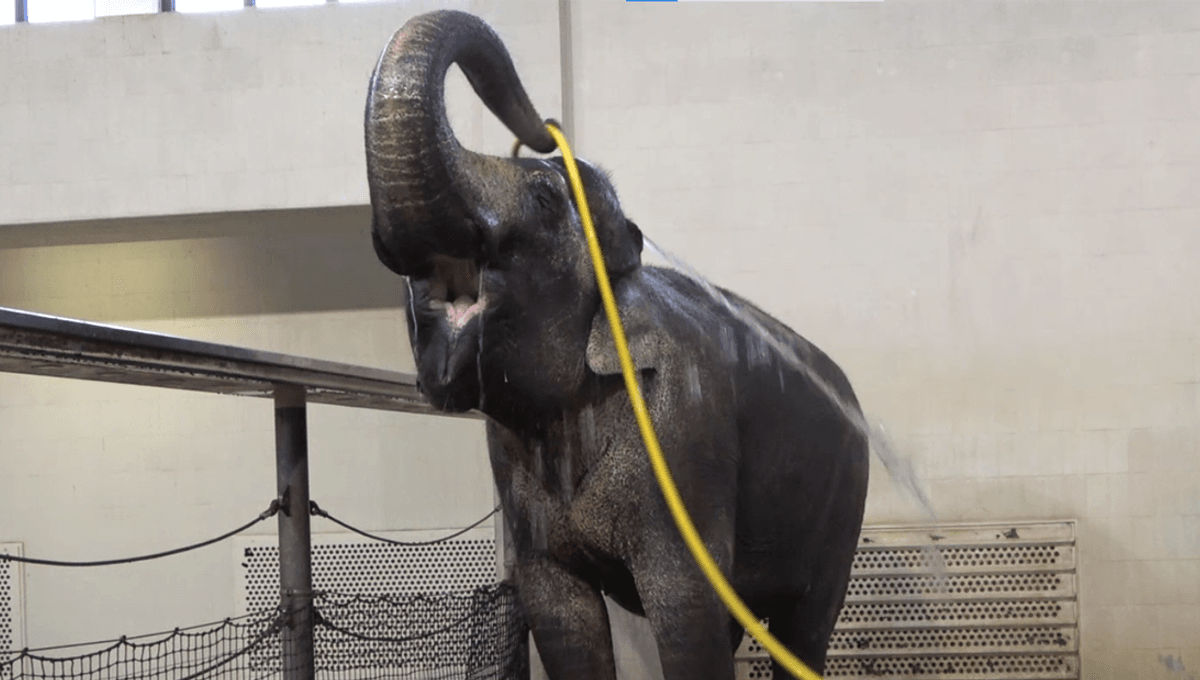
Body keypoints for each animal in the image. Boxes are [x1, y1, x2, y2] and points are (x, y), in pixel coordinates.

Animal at [365, 10, 869, 680]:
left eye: (545, 199)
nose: (545, 132)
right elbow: (560, 617)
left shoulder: (684, 437)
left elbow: (686, 614)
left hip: (844, 501)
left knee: (805, 628)